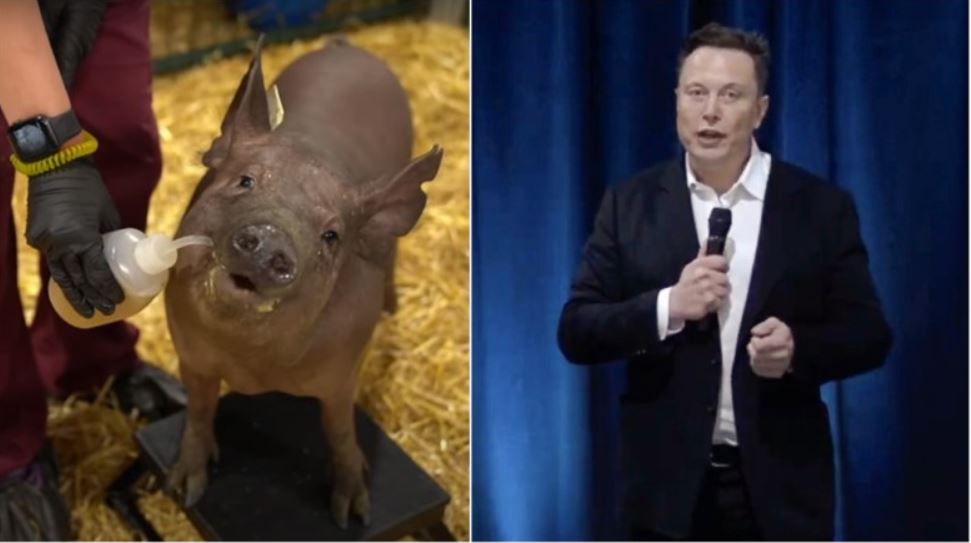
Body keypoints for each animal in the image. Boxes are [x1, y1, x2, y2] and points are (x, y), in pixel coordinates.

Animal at [163, 35, 443, 529]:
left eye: (331, 235)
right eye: (245, 181)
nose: (273, 238)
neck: (252, 364)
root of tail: (344, 45)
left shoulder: (342, 372)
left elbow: (339, 429)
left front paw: (353, 516)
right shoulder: (190, 355)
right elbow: (199, 410)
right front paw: (186, 490)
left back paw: (393, 306)